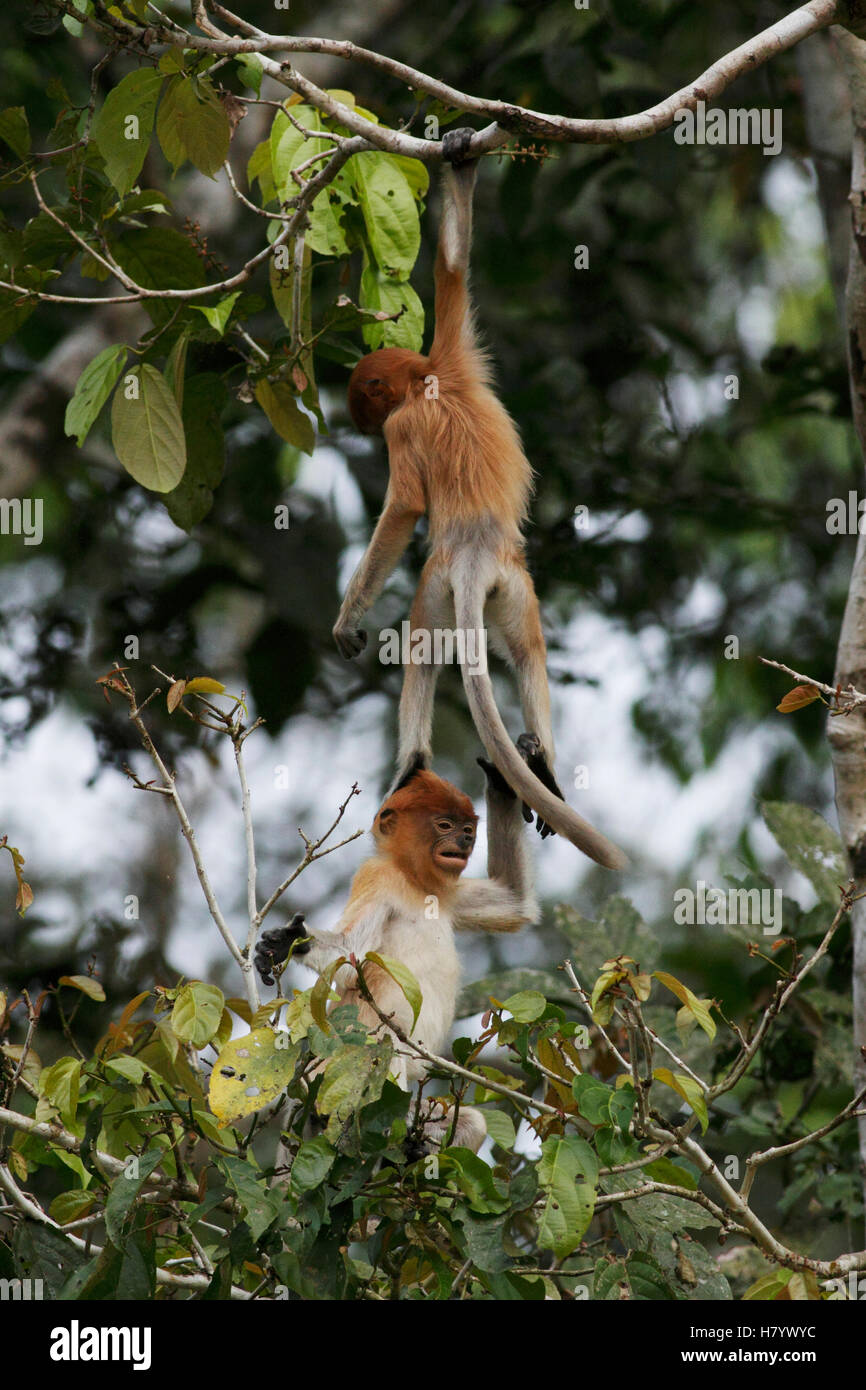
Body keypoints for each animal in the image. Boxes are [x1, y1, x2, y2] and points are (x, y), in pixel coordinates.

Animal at [255, 758, 537, 1152]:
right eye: (445, 825)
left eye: (468, 828)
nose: (465, 840)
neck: (414, 881)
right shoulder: (377, 876)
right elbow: (350, 956)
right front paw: (288, 942)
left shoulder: (449, 893)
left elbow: (516, 903)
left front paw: (502, 780)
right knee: (383, 1046)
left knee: (475, 1125)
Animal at [333, 129, 627, 871]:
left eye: (368, 413)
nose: (360, 424)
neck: (428, 384)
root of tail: (472, 551)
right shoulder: (456, 354)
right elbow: (454, 266)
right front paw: (461, 153)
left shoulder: (408, 420)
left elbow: (404, 509)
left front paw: (348, 622)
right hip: (513, 586)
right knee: (529, 654)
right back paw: (539, 764)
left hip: (439, 585)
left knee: (420, 646)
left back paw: (412, 765)